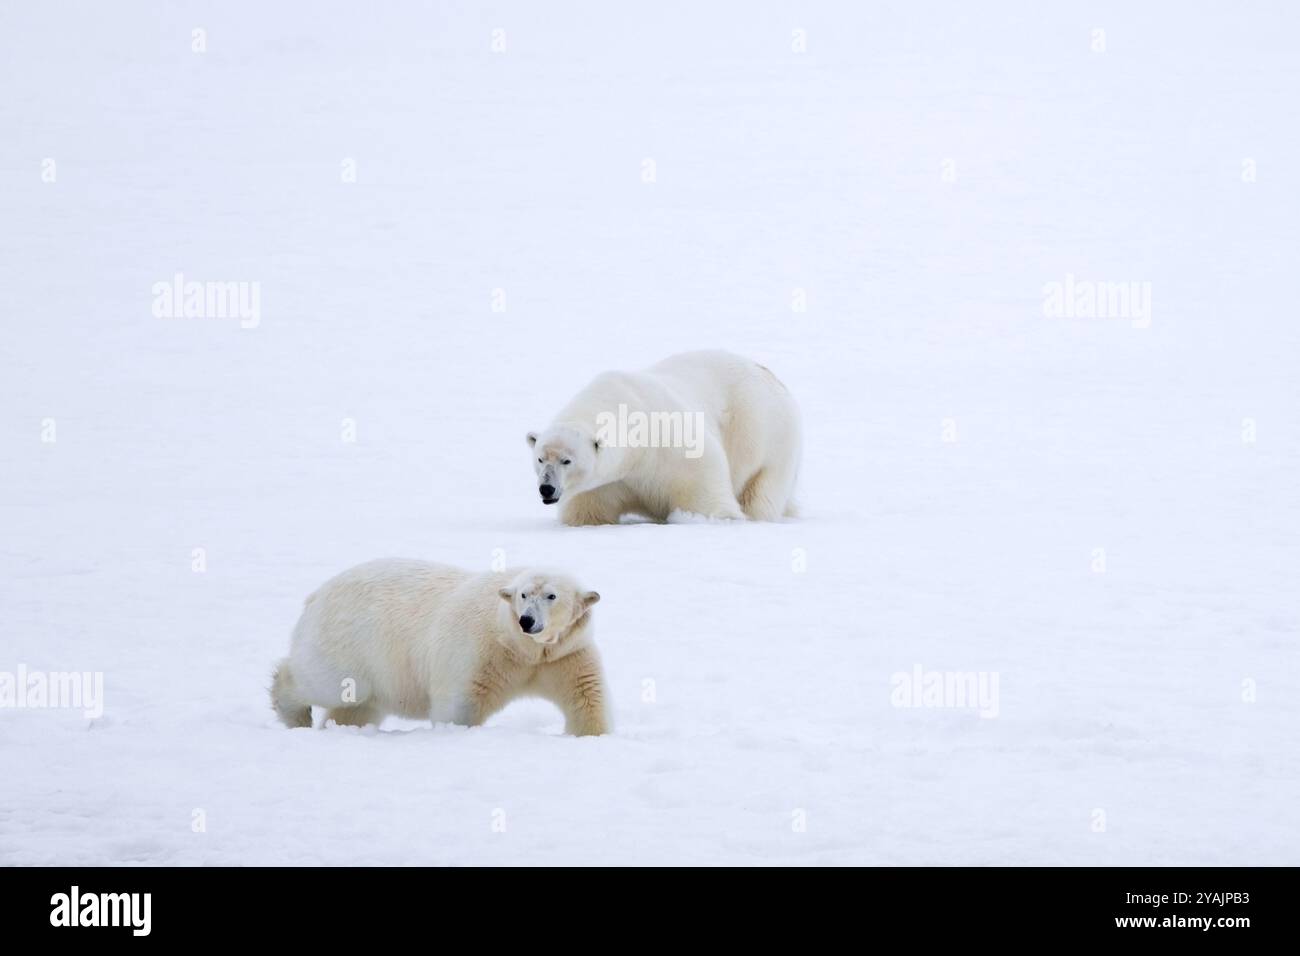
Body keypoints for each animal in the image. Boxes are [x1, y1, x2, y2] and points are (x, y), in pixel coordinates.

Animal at [270, 559, 609, 736]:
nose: (527, 620)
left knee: (357, 705)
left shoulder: (565, 656)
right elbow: (459, 704)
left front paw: (591, 734)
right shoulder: (480, 652)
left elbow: (586, 698)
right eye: (524, 595)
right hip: (351, 642)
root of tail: (317, 593)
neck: (522, 648)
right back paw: (293, 714)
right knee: (327, 682)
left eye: (551, 596)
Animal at [527, 349, 801, 525]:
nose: (546, 488)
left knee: (759, 491)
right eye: (540, 459)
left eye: (567, 460)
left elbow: (702, 490)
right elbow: (587, 509)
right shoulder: (605, 483)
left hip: (763, 434)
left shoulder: (671, 446)